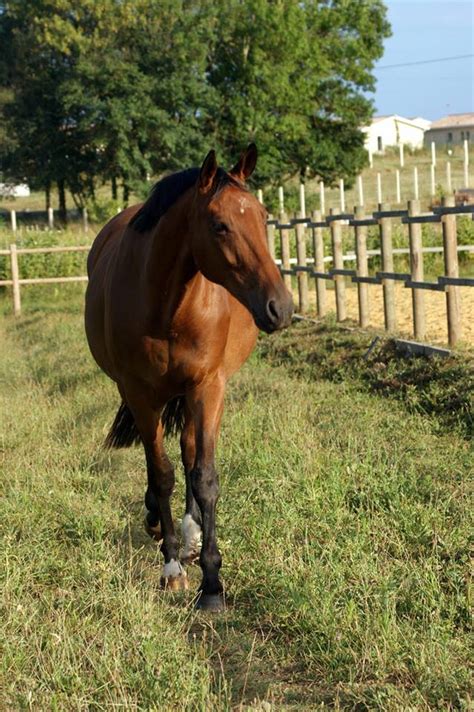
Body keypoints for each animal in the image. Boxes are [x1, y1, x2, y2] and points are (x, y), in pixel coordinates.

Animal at [85, 144, 294, 610]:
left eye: (263, 217)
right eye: (220, 225)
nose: (281, 308)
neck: (168, 307)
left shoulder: (207, 387)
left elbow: (204, 476)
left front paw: (212, 582)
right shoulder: (140, 393)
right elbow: (161, 473)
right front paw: (172, 568)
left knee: (189, 452)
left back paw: (190, 532)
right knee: (161, 461)